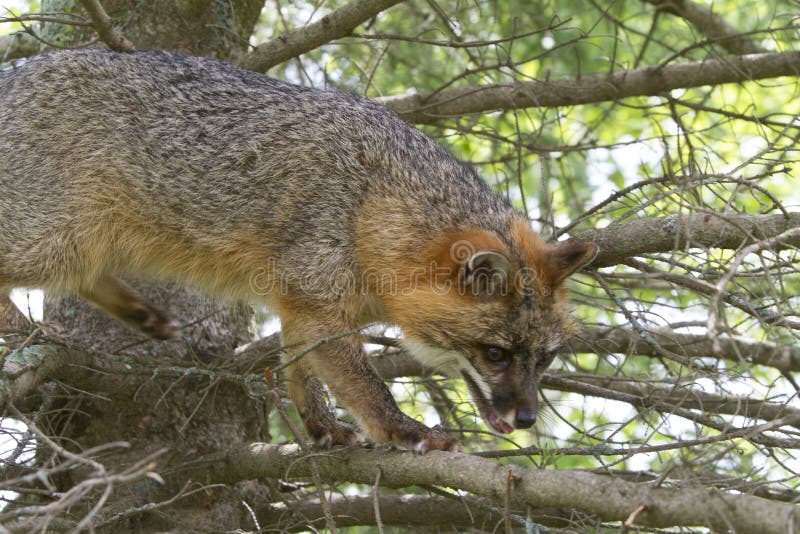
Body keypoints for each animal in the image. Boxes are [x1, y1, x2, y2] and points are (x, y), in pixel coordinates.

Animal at [0, 48, 598, 452]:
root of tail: (20, 66)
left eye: (545, 359)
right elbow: (365, 386)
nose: (527, 419)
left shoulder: (303, 304)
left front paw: (323, 427)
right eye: (495, 354)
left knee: (87, 279)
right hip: (56, 241)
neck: (373, 197)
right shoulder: (320, 302)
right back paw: (26, 330)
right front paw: (404, 431)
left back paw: (143, 315)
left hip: (92, 246)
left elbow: (300, 373)